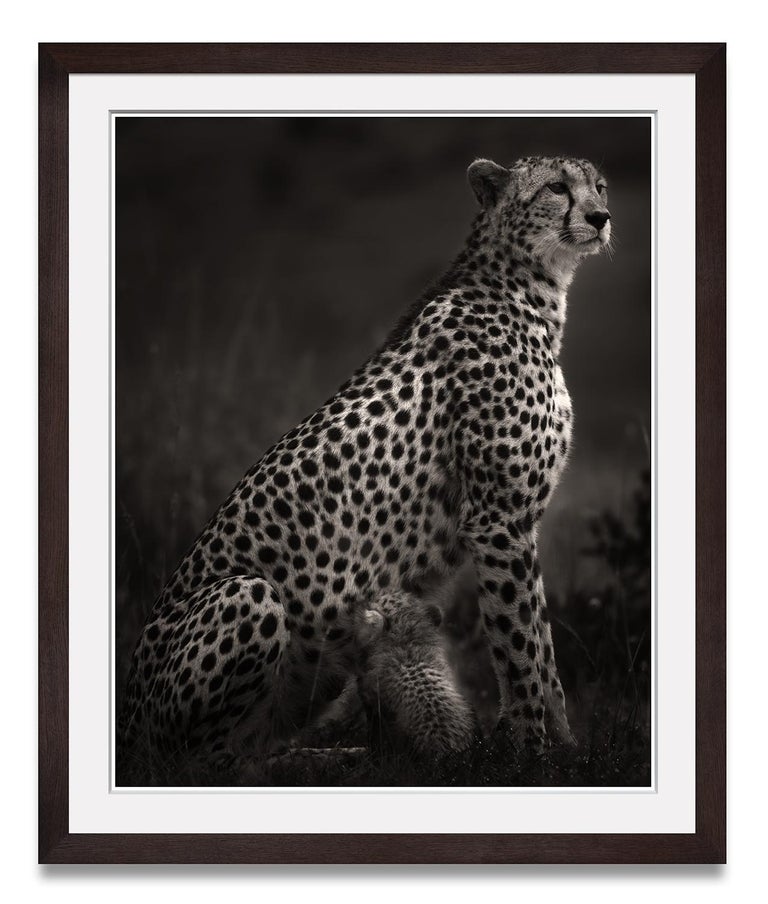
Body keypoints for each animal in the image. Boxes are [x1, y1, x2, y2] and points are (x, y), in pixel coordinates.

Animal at [117, 154, 611, 781]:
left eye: (599, 186)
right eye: (556, 187)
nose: (600, 217)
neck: (532, 290)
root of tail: (124, 718)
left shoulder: (516, 524)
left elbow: (544, 655)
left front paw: (567, 752)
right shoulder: (499, 521)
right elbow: (521, 651)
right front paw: (535, 761)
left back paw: (336, 756)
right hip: (248, 596)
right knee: (199, 765)